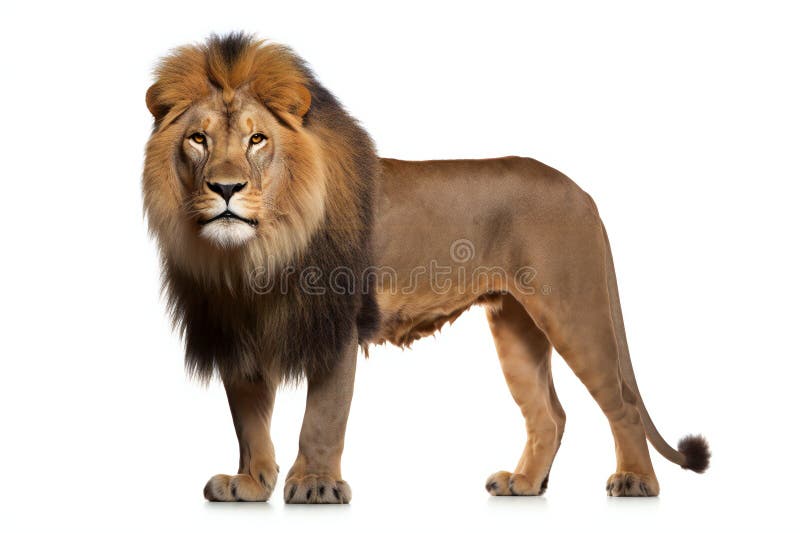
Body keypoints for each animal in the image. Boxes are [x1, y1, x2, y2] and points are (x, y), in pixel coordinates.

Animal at [143, 33, 709, 503]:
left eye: (257, 139)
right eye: (198, 139)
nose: (226, 188)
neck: (257, 255)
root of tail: (581, 191)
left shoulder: (339, 321)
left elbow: (322, 415)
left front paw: (316, 486)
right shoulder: (237, 329)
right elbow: (249, 419)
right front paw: (251, 484)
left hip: (573, 307)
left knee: (622, 402)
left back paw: (636, 481)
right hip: (515, 323)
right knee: (550, 415)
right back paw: (523, 484)